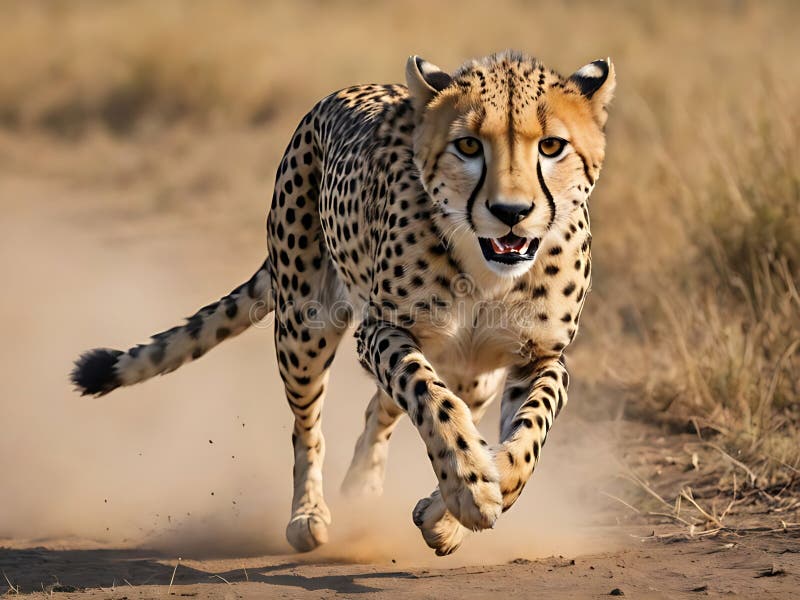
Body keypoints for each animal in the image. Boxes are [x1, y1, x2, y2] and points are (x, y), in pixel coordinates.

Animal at [71, 50, 615, 556]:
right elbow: (431, 399)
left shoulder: (538, 356)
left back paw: (376, 492)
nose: (511, 212)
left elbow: (527, 435)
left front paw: (458, 502)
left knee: (386, 408)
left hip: (472, 371)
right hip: (305, 327)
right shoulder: (381, 330)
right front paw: (467, 487)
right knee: (309, 428)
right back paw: (308, 515)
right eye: (467, 145)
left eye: (551, 146)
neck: (487, 272)